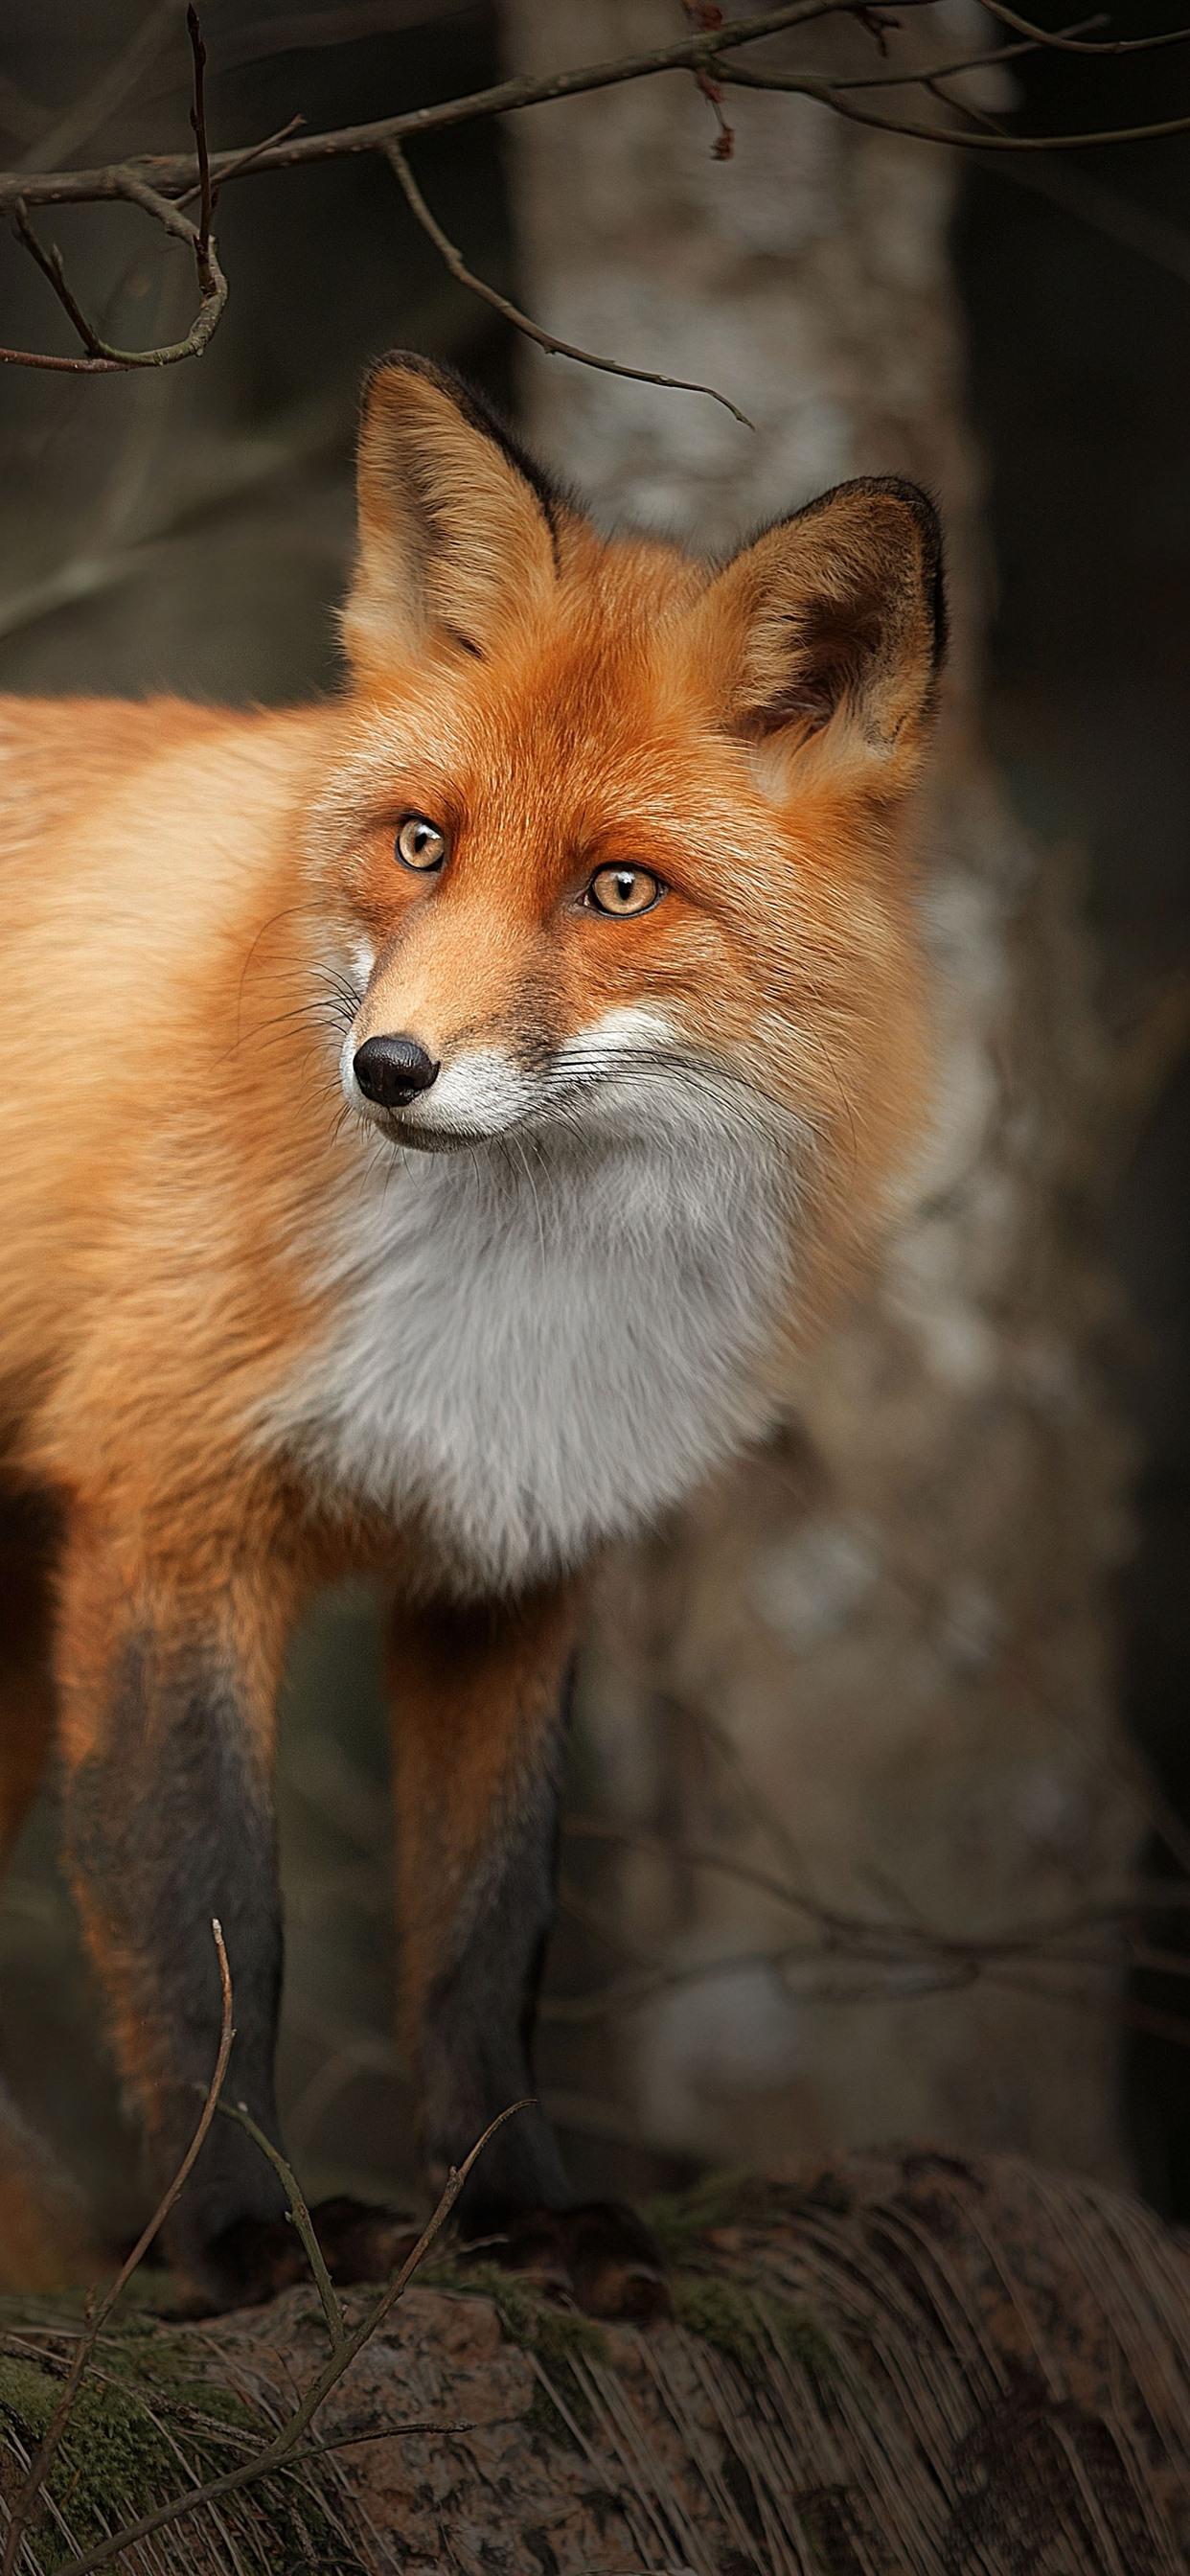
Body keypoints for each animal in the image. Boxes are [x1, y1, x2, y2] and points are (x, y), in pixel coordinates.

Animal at [0, 353, 944, 2315]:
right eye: (420, 844)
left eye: (618, 890)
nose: (387, 1069)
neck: (510, 1304)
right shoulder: (167, 1513)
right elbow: (209, 1931)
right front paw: (243, 2240)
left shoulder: (517, 1548)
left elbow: (485, 1931)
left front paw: (516, 2211)